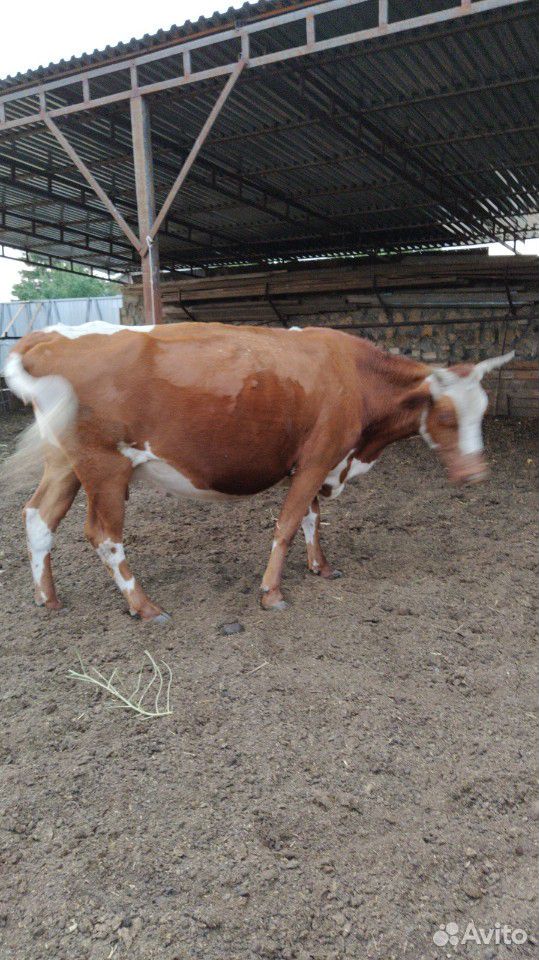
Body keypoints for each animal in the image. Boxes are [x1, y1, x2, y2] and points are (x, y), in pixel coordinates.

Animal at [3, 321, 513, 621]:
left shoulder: (316, 464)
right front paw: (271, 592)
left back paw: (47, 597)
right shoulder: (317, 458)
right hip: (105, 466)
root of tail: (51, 336)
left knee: (38, 517)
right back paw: (143, 605)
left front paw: (321, 566)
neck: (354, 375)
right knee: (104, 537)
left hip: (64, 463)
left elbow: (310, 520)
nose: (475, 476)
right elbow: (286, 524)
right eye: (446, 415)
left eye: (483, 410)